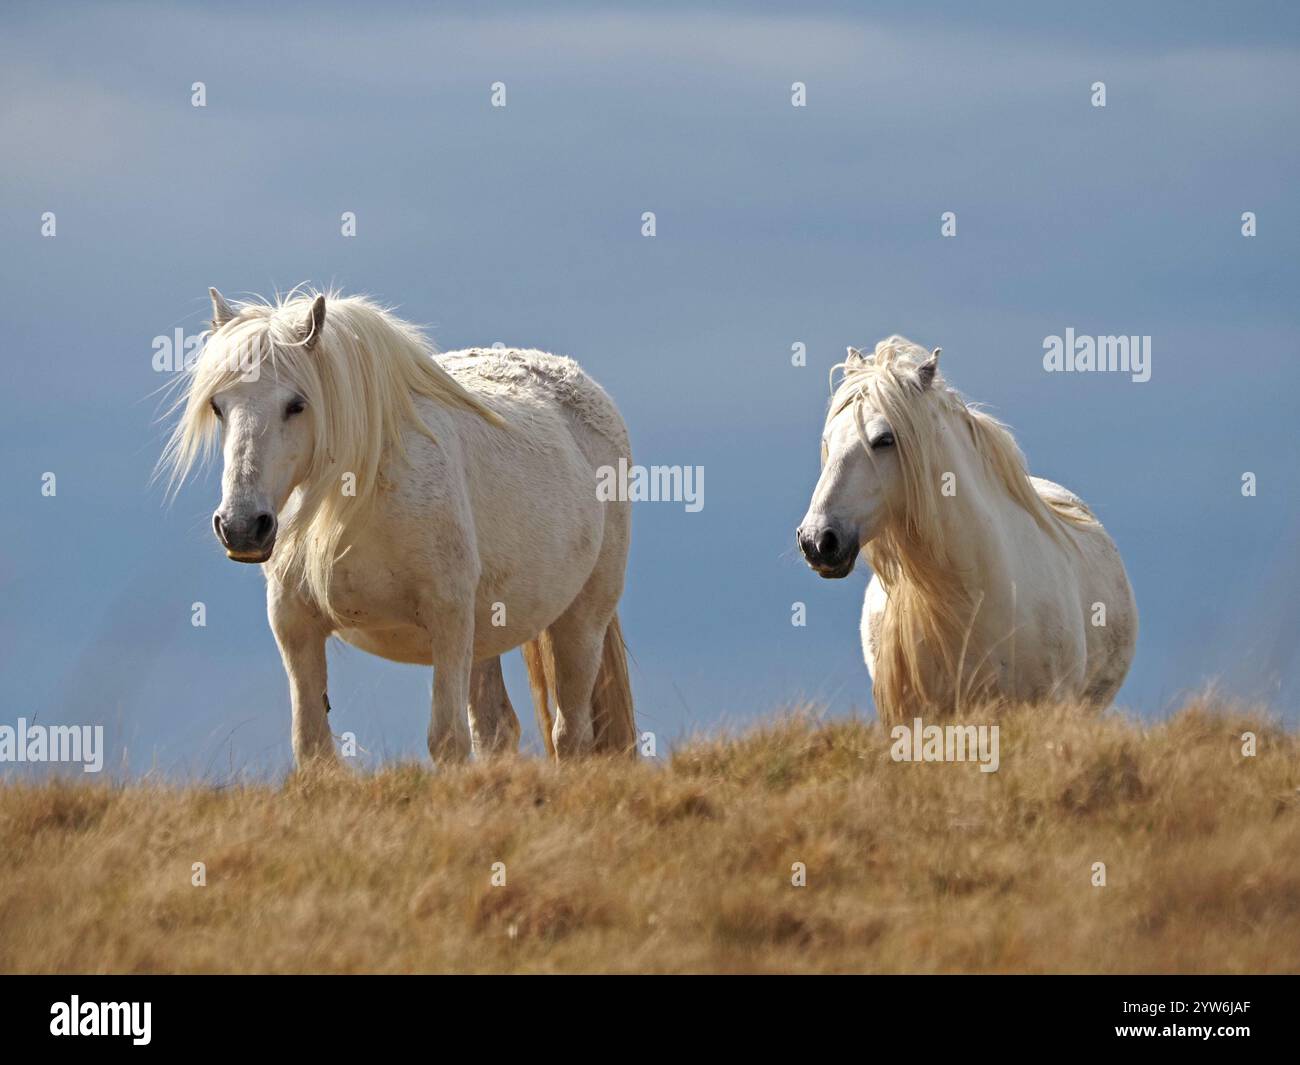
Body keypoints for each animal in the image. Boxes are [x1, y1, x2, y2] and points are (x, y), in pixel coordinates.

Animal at [161, 287, 637, 766]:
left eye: (296, 405)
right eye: (218, 407)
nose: (242, 526)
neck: (360, 498)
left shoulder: (448, 620)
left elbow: (447, 739)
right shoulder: (294, 624)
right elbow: (312, 744)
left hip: (580, 620)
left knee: (570, 735)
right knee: (496, 727)